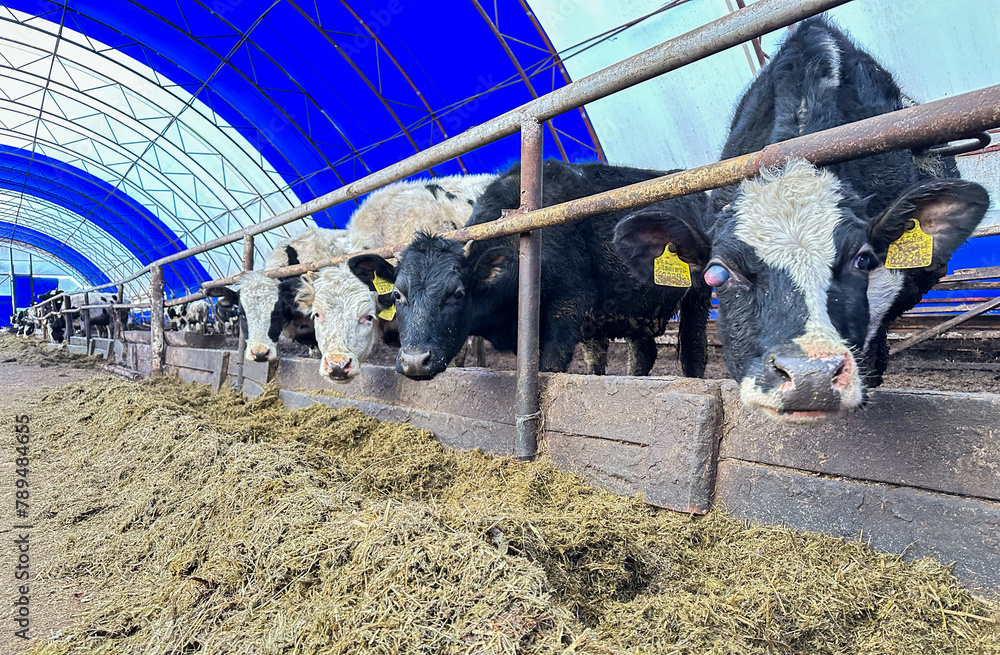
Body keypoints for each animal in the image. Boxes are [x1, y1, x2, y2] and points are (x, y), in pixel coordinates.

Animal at [348, 160, 711, 380]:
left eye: (458, 294)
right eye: (397, 294)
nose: (414, 361)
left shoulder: (569, 307)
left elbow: (549, 368)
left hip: (699, 296)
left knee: (694, 353)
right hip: (636, 308)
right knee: (643, 352)